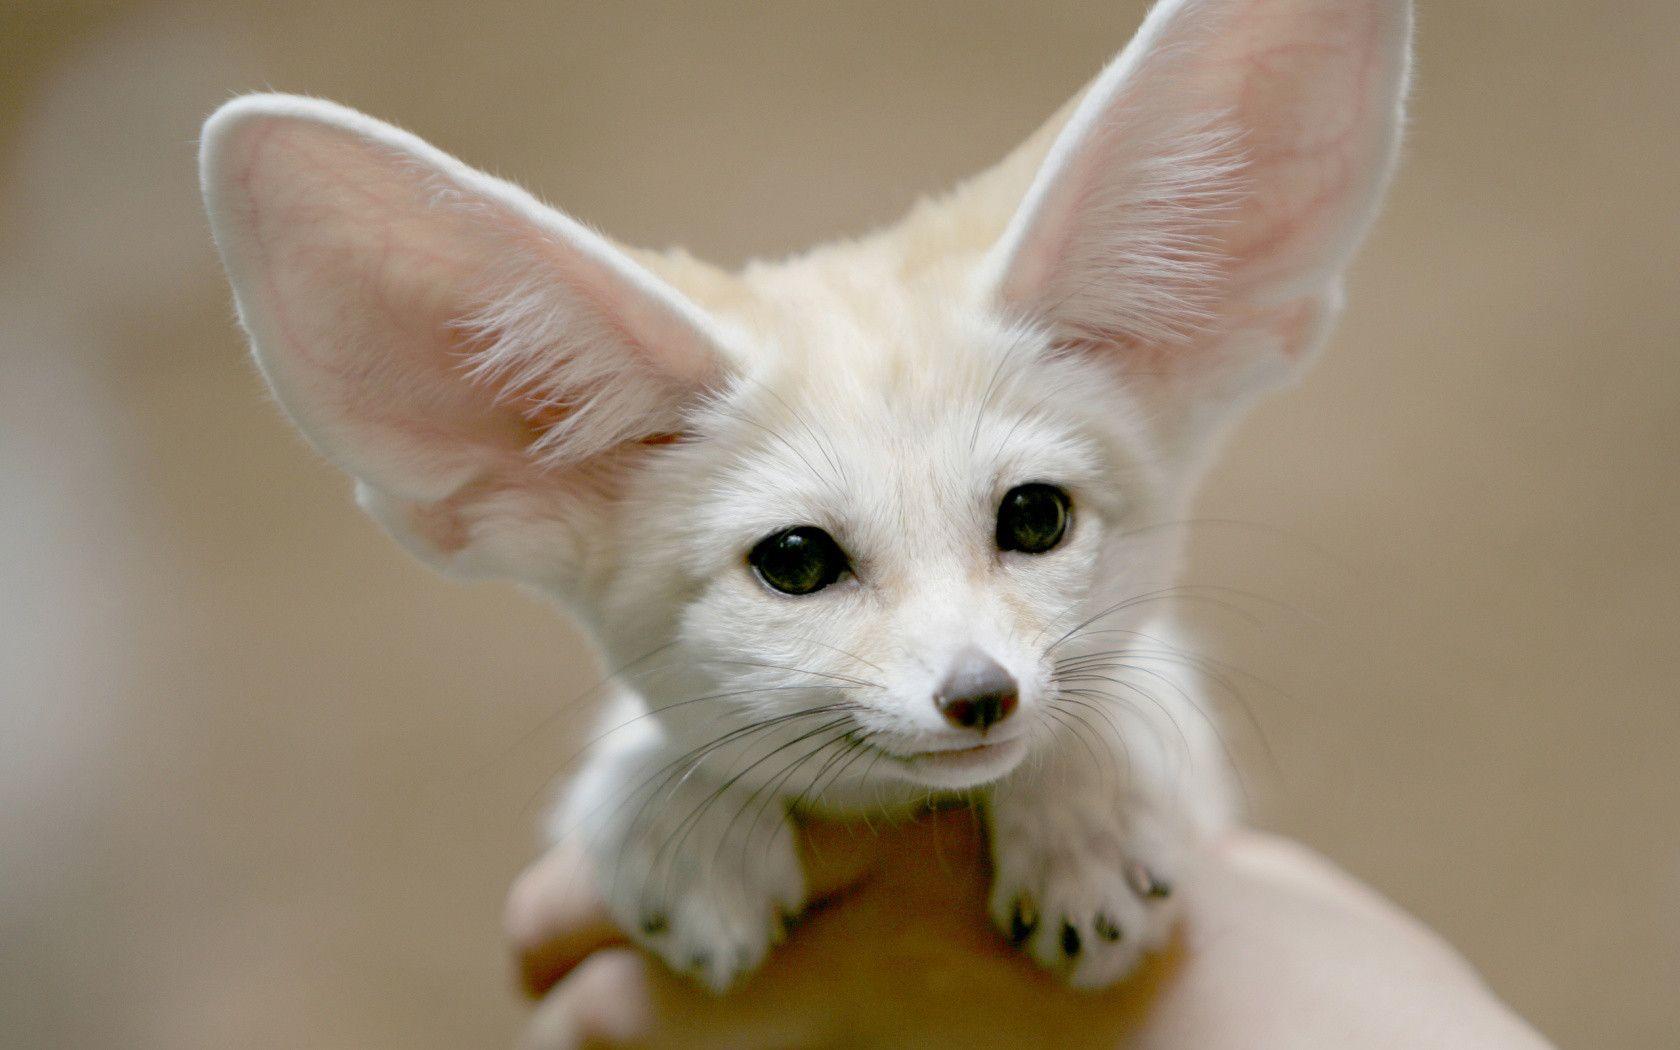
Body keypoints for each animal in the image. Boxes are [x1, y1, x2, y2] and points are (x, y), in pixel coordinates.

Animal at [200, 0, 1411, 993]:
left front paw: (1086, 815)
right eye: (795, 562)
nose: (982, 696)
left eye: (1034, 517)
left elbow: (1129, 685)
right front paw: (678, 814)